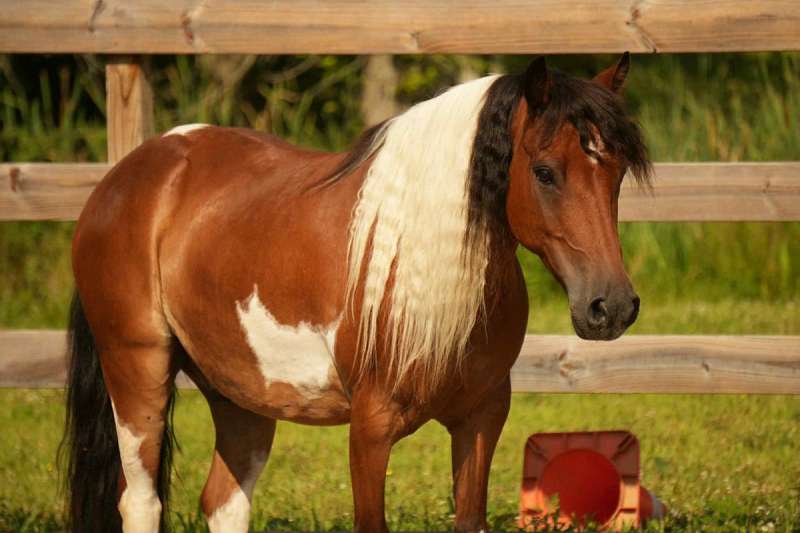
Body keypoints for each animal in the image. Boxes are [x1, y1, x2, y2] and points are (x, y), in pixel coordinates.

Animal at [62, 54, 651, 533]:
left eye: (618, 174)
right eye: (545, 172)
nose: (611, 307)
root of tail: (129, 175)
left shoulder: (482, 418)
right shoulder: (371, 427)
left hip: (239, 395)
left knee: (224, 502)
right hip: (137, 371)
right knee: (141, 503)